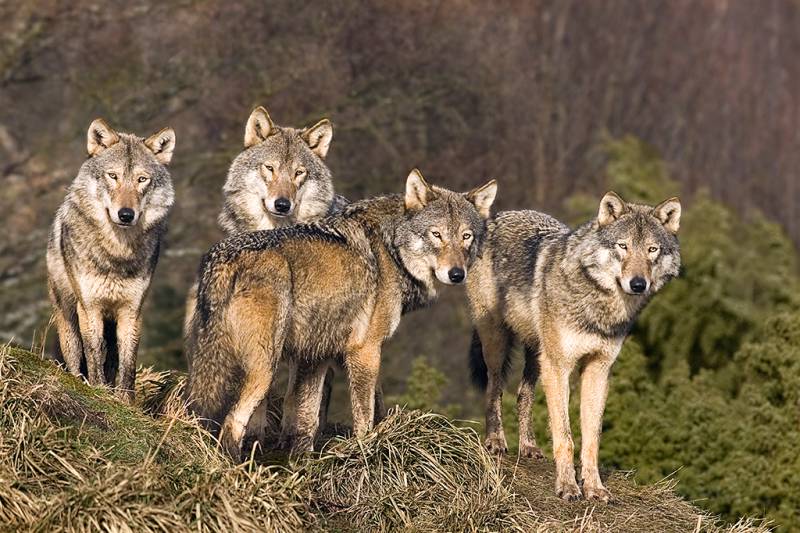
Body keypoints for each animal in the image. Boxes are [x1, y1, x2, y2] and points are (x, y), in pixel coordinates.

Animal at [47, 118, 176, 402]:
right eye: (113, 176)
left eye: (142, 179)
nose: (126, 214)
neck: (117, 253)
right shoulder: (90, 307)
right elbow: (94, 355)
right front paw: (99, 391)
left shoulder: (132, 311)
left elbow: (128, 364)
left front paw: (125, 401)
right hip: (68, 317)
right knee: (76, 357)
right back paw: (79, 380)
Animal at [186, 169, 497, 458]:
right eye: (436, 234)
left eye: (466, 237)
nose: (457, 274)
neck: (392, 249)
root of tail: (222, 259)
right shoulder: (365, 350)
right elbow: (365, 413)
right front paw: (365, 451)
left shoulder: (317, 355)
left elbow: (306, 417)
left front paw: (303, 460)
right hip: (264, 368)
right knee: (232, 423)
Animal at [467, 191, 681, 502]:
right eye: (623, 246)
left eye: (652, 250)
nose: (638, 284)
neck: (600, 307)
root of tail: (498, 216)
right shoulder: (560, 367)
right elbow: (565, 437)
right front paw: (567, 486)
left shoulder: (598, 370)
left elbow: (591, 439)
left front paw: (594, 488)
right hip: (499, 343)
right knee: (494, 387)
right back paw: (495, 440)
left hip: (537, 355)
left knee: (523, 394)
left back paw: (528, 446)